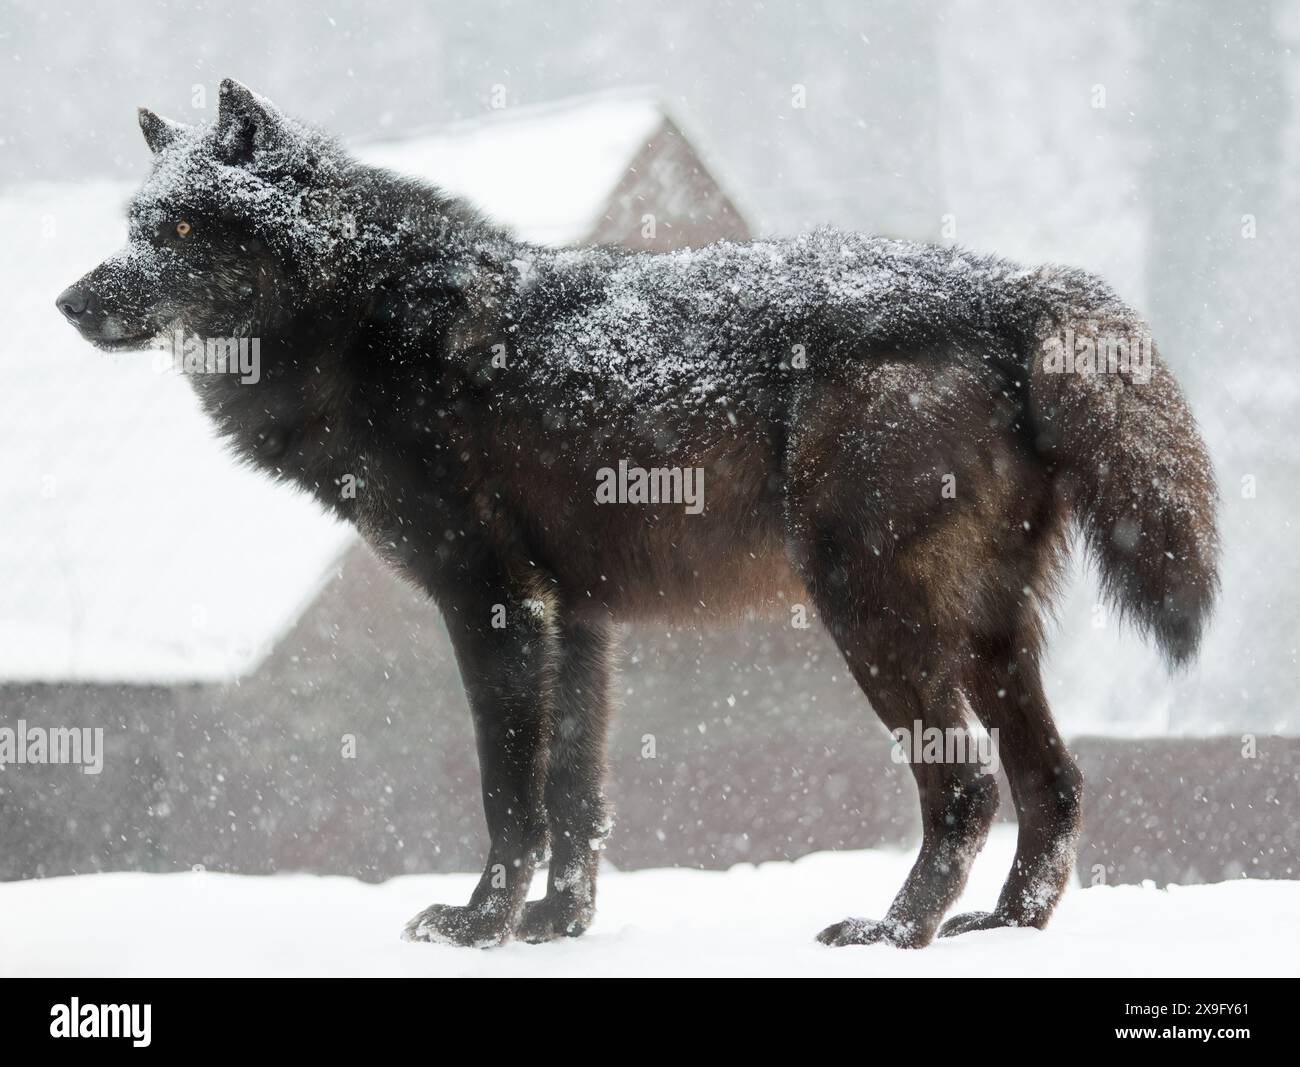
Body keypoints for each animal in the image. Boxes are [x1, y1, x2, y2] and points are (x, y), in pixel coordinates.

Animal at [56, 80, 1218, 948]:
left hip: (873, 611)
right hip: (987, 632)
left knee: (970, 783)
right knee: (1055, 782)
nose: (70, 301)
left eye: (182, 225)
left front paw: (478, 923)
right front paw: (556, 925)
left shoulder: (490, 602)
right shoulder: (578, 617)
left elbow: (509, 790)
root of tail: (1013, 287)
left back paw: (892, 932)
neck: (364, 319)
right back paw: (1003, 930)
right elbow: (576, 792)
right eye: (132, 226)